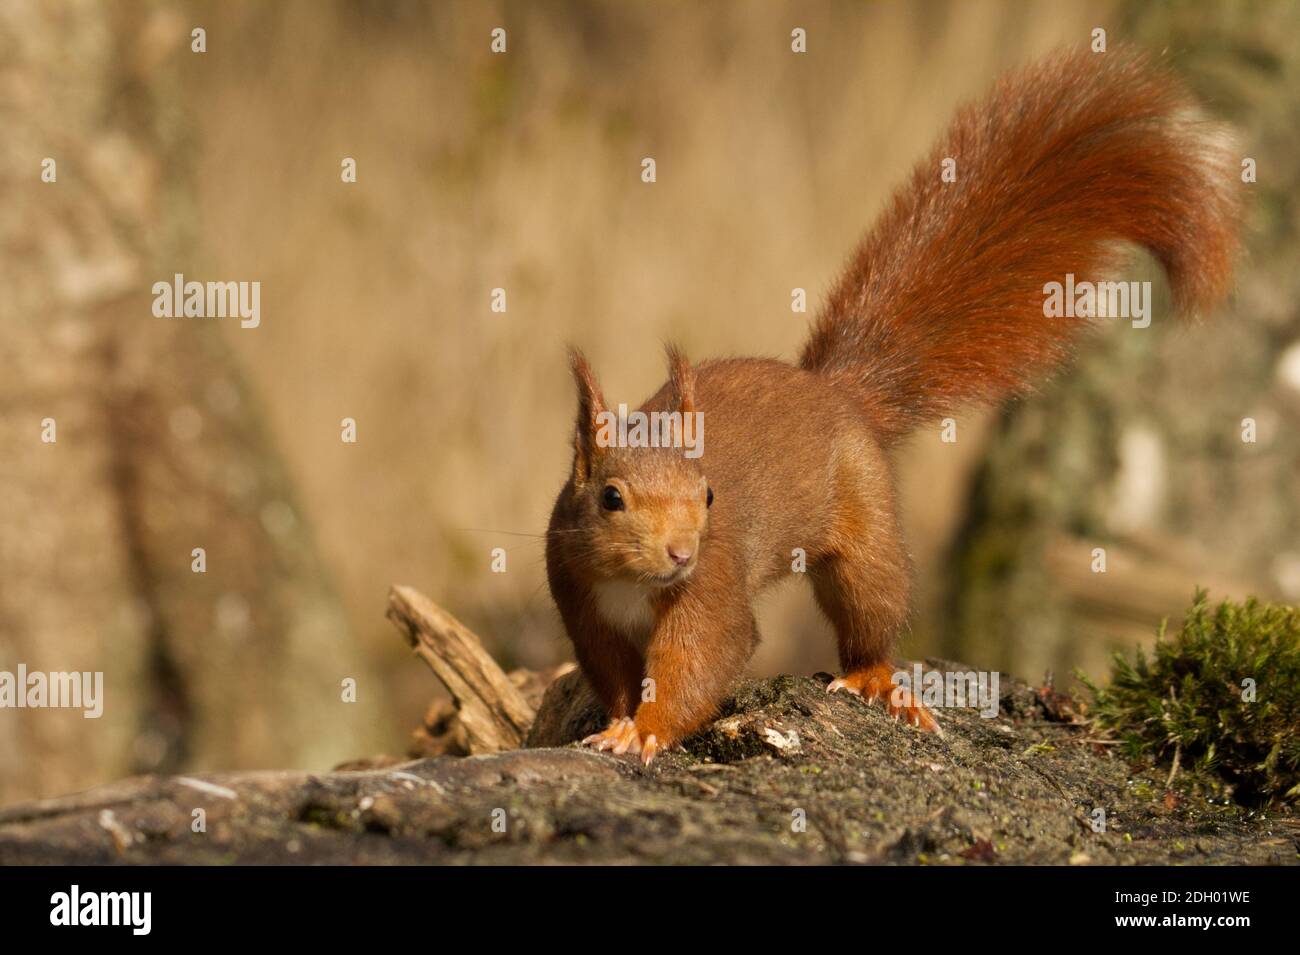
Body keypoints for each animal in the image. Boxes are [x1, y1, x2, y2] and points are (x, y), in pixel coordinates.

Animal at [545, 49, 1242, 765]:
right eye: (610, 498)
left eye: (708, 494)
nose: (682, 552)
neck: (635, 585)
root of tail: (836, 391)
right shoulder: (579, 599)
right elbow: (613, 672)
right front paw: (617, 723)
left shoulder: (710, 591)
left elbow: (704, 657)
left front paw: (648, 731)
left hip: (865, 527)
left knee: (872, 610)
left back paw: (877, 682)